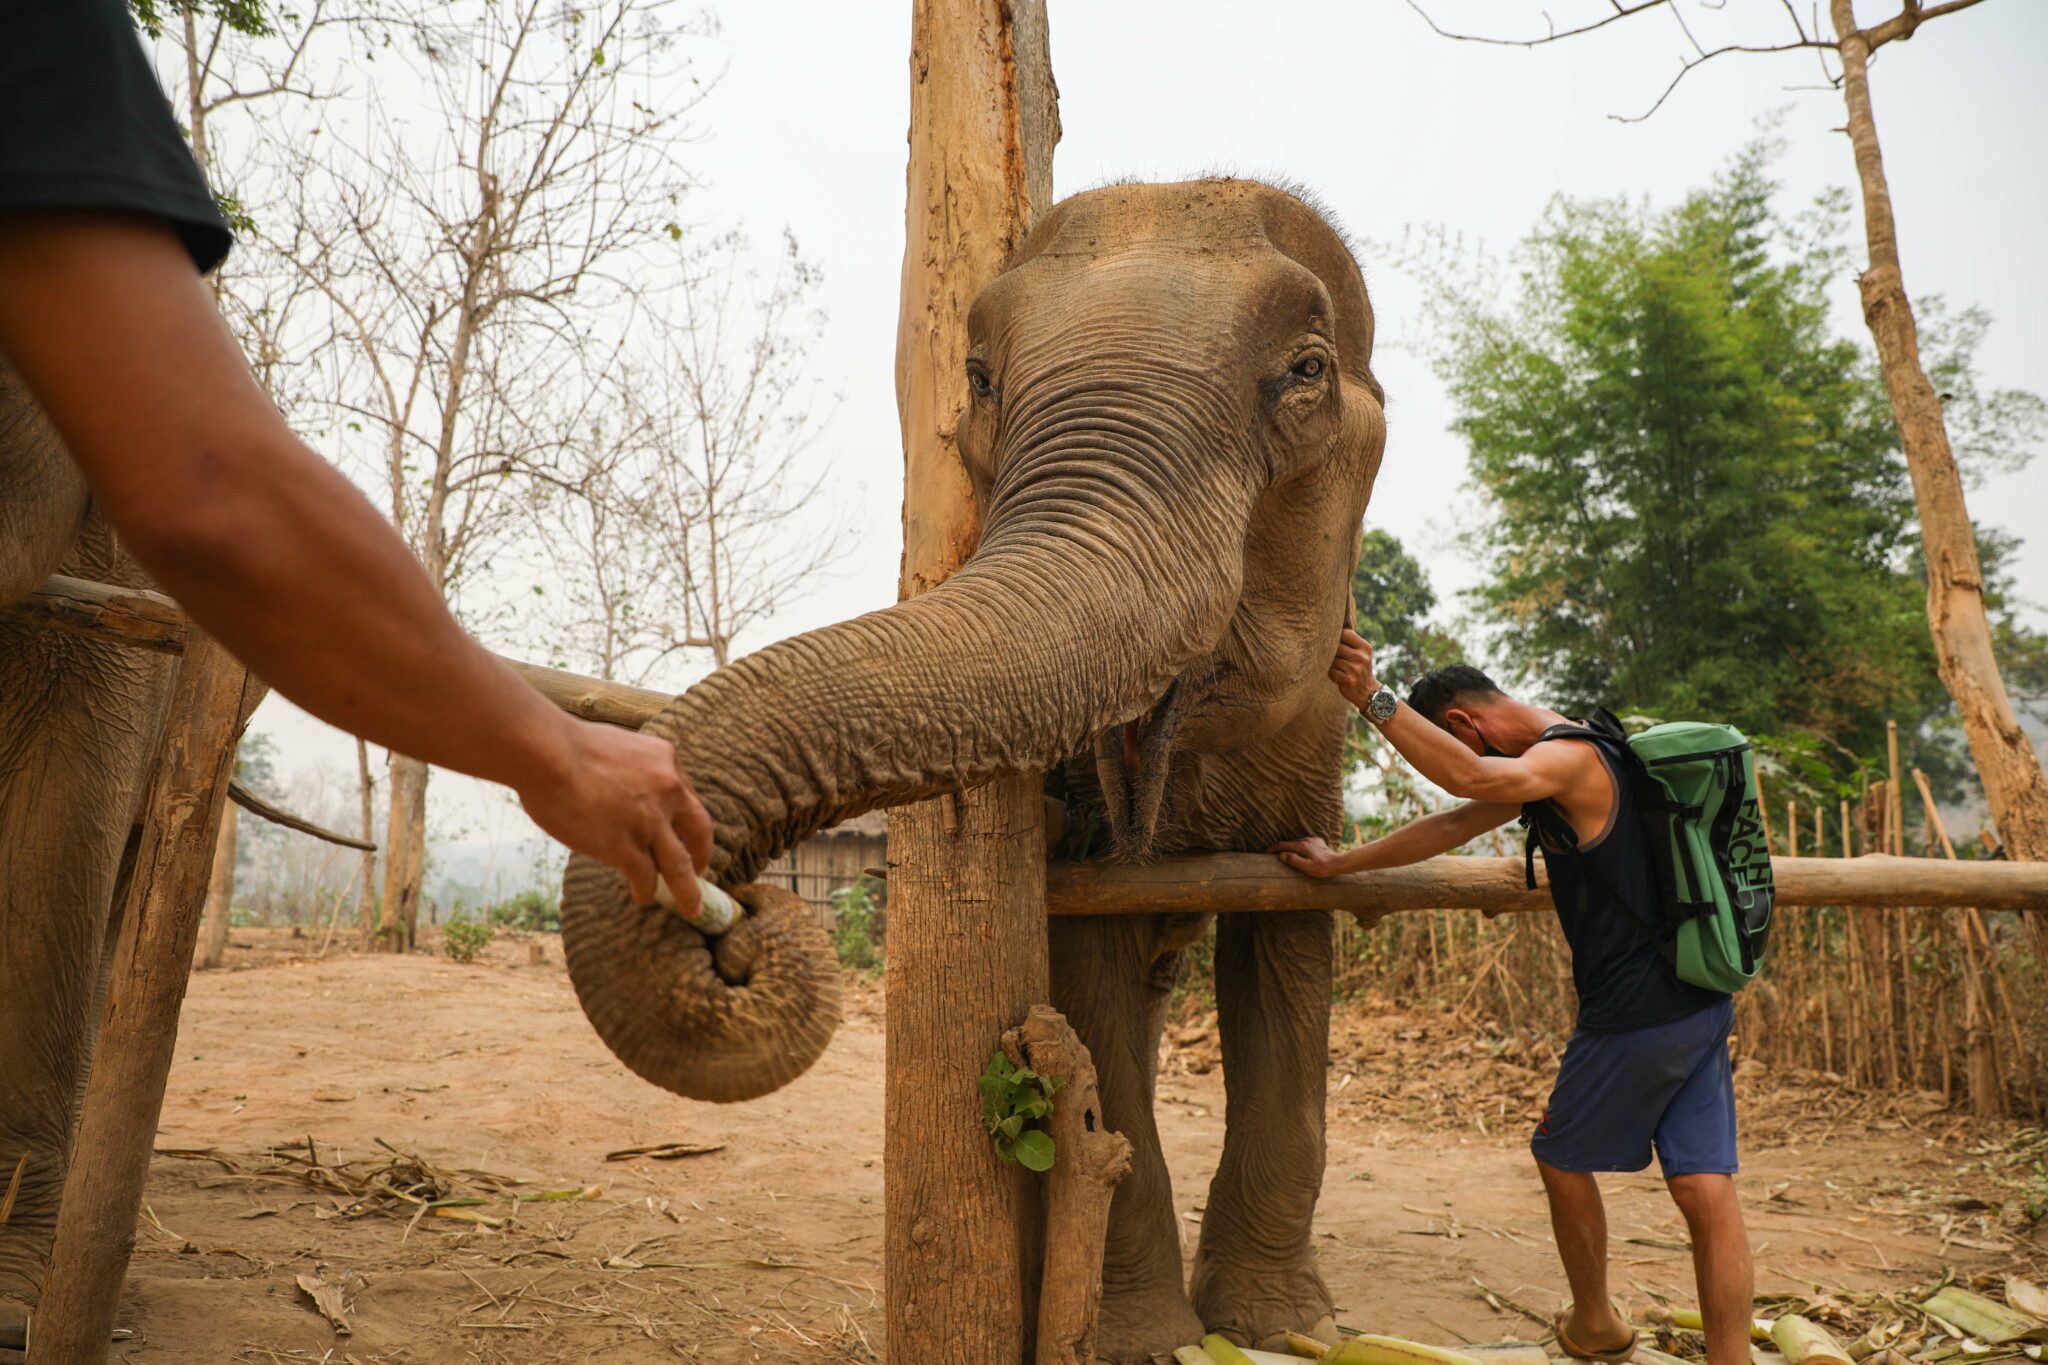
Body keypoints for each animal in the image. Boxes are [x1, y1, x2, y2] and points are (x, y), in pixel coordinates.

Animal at [557, 177, 1387, 1360]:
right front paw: (1144, 1335)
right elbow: (1088, 962)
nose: (734, 927)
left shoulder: (1314, 744)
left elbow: (1287, 940)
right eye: (983, 379)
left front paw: (1283, 1327)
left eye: (1306, 371)